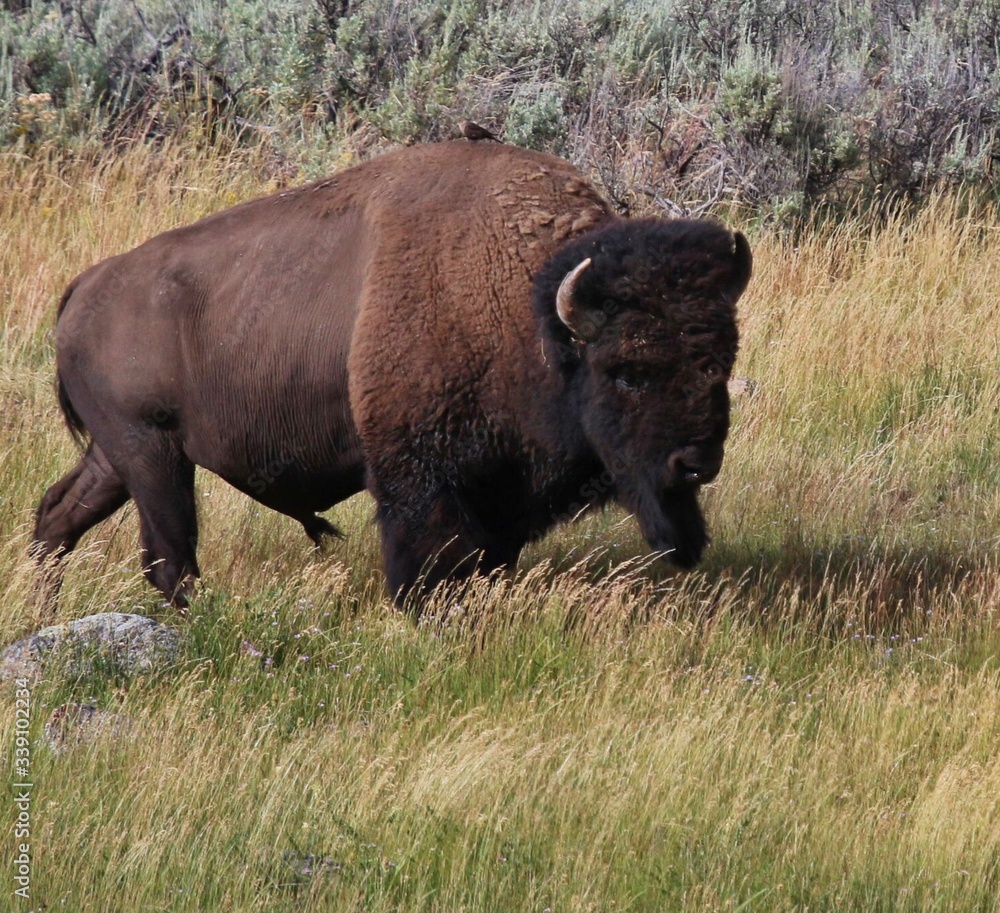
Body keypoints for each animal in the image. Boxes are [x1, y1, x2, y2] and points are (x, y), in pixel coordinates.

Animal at [34, 140, 751, 610]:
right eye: (628, 371)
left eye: (720, 362)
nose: (695, 462)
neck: (531, 309)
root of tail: (83, 289)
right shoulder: (421, 474)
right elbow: (427, 557)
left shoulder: (499, 488)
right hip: (152, 453)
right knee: (169, 556)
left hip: (119, 456)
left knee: (57, 513)